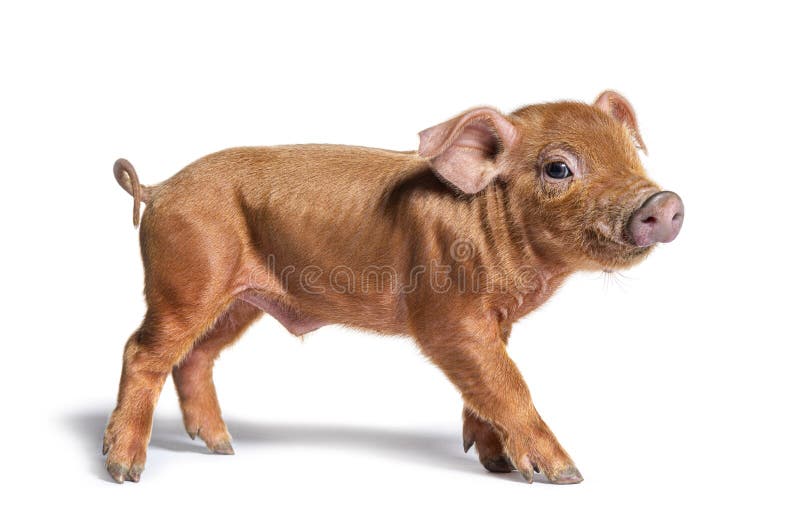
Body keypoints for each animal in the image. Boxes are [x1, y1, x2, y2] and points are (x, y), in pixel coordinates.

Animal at [103, 90, 684, 484]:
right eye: (559, 168)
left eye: (632, 156)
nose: (664, 201)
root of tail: (158, 190)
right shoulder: (448, 317)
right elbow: (507, 383)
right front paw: (567, 475)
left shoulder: (496, 321)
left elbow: (483, 388)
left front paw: (495, 464)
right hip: (185, 278)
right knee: (142, 351)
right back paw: (126, 470)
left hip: (240, 299)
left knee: (196, 357)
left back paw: (224, 448)